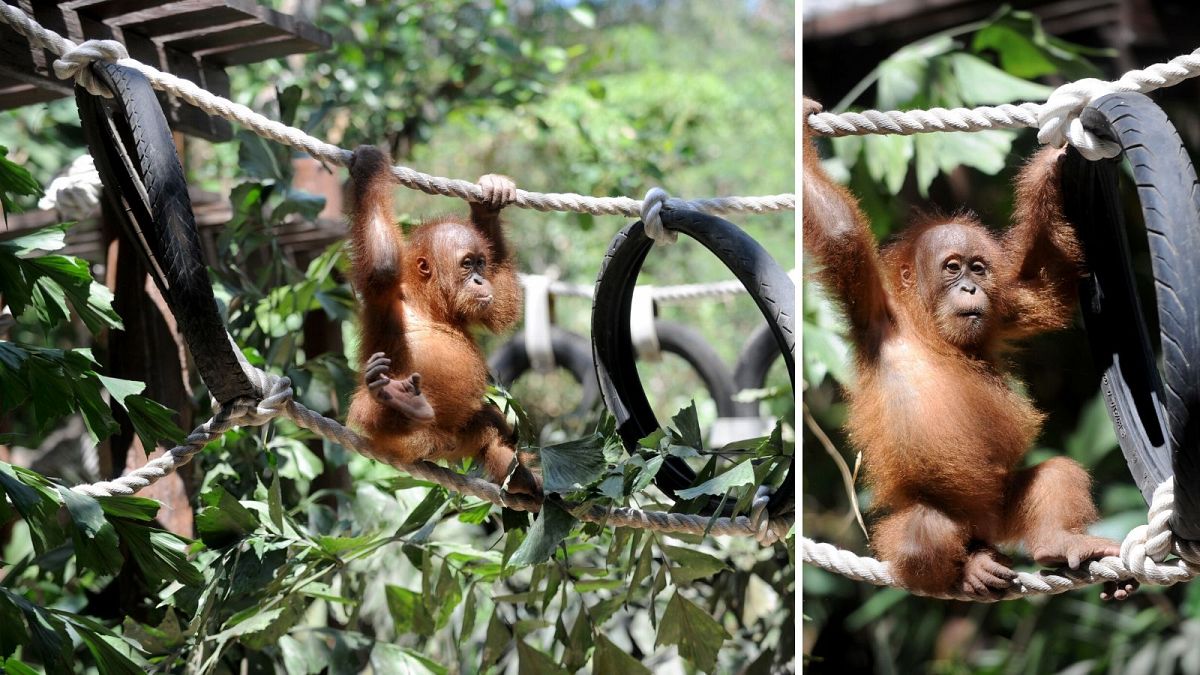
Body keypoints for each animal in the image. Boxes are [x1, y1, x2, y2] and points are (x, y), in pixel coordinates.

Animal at [345, 145, 541, 497]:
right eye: (466, 264)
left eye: (481, 263)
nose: (479, 280)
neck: (429, 306)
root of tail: (435, 444)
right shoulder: (388, 294)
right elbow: (383, 267)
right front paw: (369, 166)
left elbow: (501, 310)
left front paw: (489, 203)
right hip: (395, 438)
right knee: (365, 406)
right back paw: (399, 400)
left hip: (460, 436)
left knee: (490, 425)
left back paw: (520, 477)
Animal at [803, 98, 1134, 599]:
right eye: (951, 267)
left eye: (978, 268)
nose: (970, 289)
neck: (931, 333)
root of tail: (987, 530)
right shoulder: (875, 313)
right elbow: (840, 232)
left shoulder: (1002, 314)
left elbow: (1048, 286)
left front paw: (1051, 169)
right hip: (949, 521)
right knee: (925, 534)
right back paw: (971, 567)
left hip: (1004, 507)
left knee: (1057, 473)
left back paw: (1061, 544)